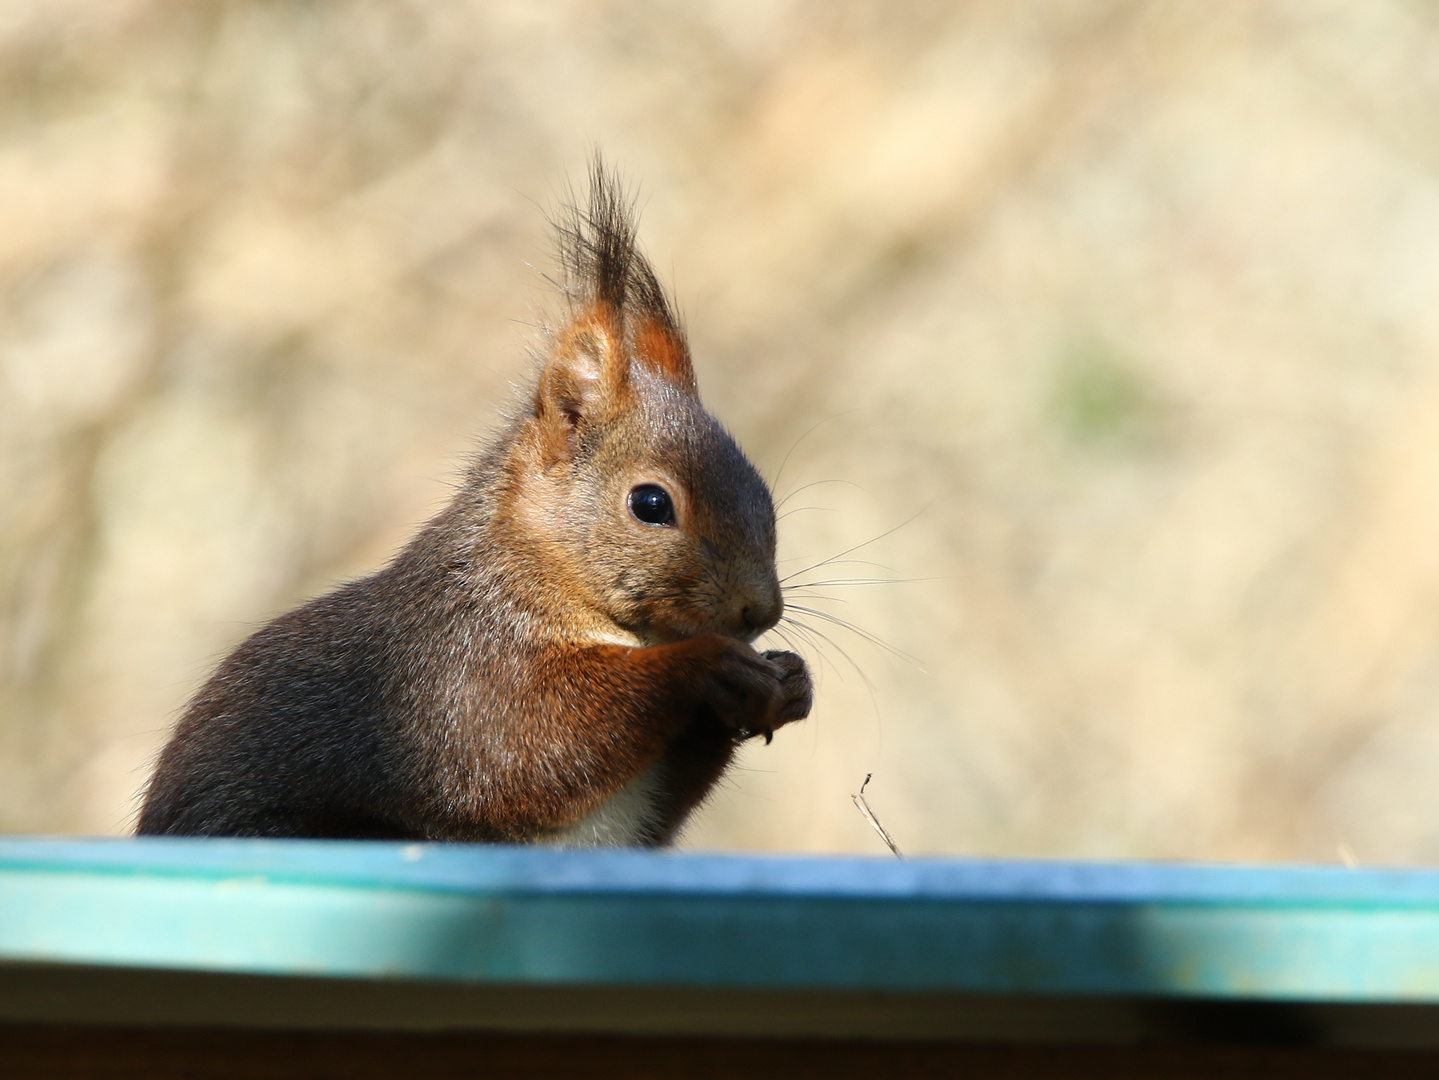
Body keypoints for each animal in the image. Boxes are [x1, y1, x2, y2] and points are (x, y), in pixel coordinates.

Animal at [135, 164, 817, 851]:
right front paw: (706, 664)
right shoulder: (458, 672)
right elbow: (525, 744)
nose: (761, 611)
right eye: (650, 503)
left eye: (765, 501)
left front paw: (790, 681)